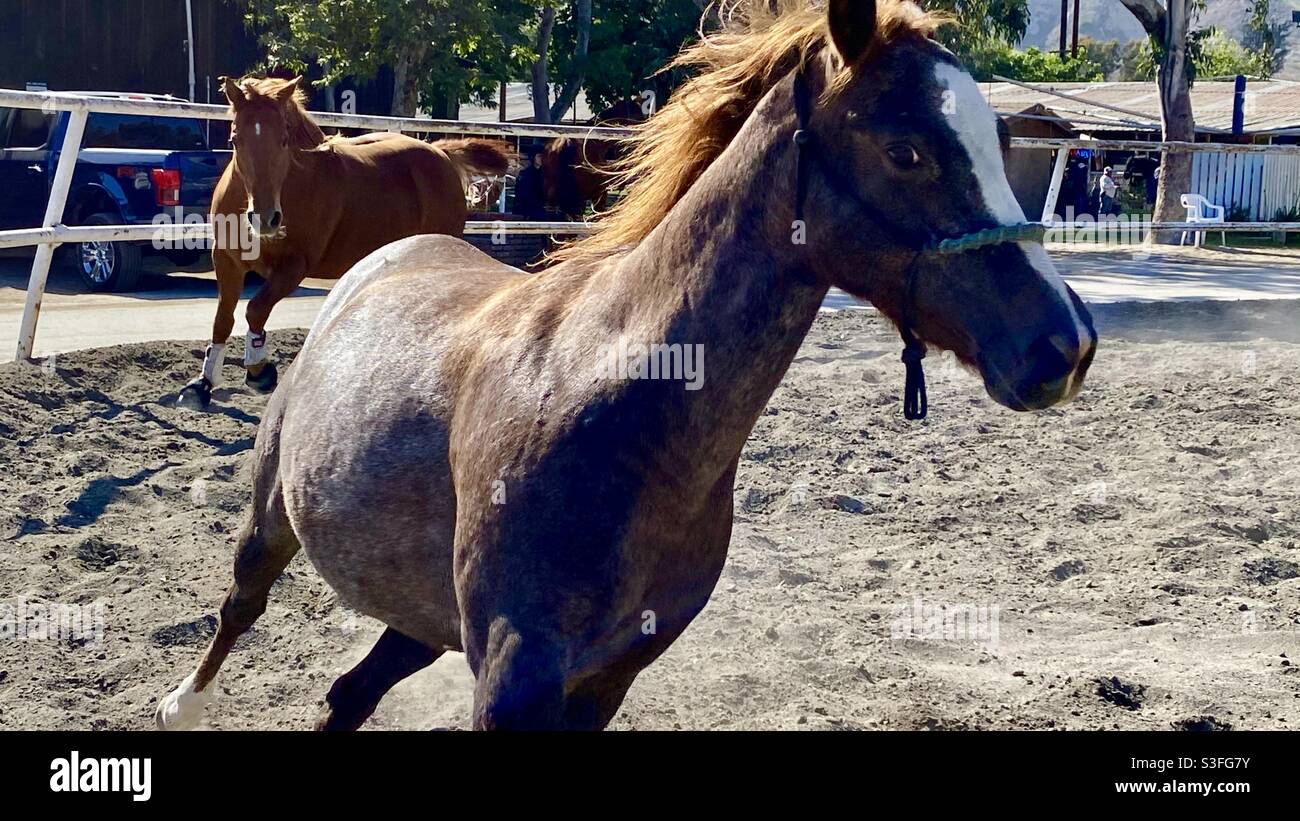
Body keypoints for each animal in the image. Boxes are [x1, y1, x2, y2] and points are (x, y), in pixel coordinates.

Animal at [176, 76, 513, 409]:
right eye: (235, 139)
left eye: (283, 140)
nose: (265, 218)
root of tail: (440, 153)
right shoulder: (226, 261)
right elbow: (223, 318)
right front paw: (202, 385)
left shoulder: (294, 267)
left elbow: (255, 309)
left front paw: (260, 372)